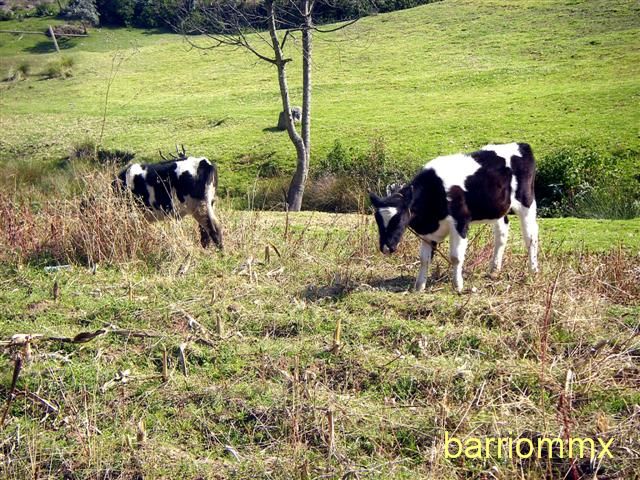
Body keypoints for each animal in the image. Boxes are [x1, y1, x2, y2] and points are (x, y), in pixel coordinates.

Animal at [370, 143, 539, 293]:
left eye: (398, 219)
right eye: (377, 220)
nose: (386, 248)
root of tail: (522, 145)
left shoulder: (460, 222)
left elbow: (456, 257)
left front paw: (458, 286)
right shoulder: (427, 232)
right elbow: (424, 259)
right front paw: (419, 287)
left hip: (526, 202)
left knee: (531, 237)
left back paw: (533, 271)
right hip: (498, 210)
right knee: (501, 235)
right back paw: (494, 270)